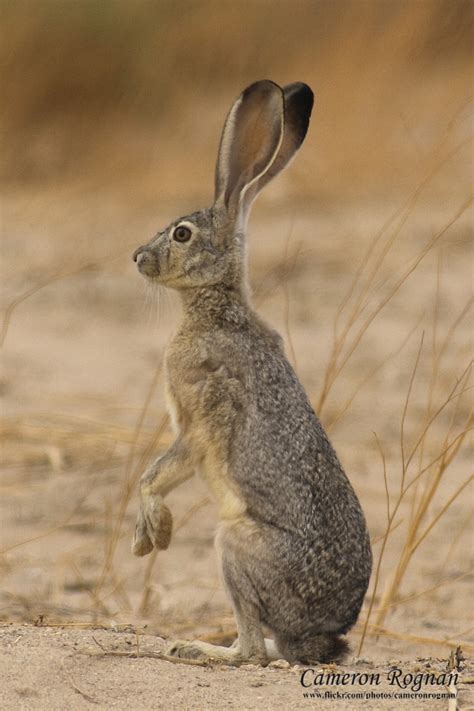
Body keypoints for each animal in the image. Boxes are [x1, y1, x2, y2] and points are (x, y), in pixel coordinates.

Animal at [131, 80, 372, 666]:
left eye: (182, 234)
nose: (137, 257)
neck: (216, 306)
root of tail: (318, 635)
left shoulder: (200, 418)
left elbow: (160, 471)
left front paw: (153, 530)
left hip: (234, 546)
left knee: (253, 651)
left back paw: (198, 648)